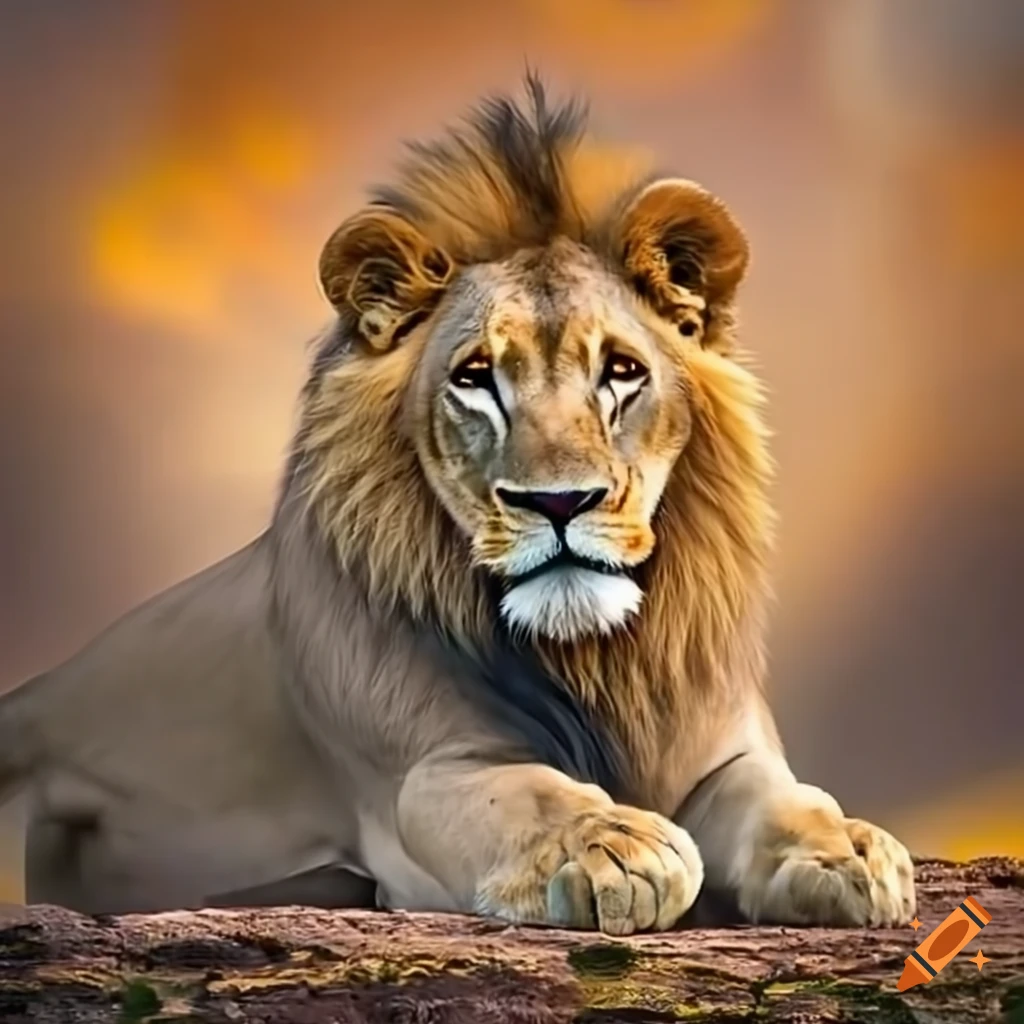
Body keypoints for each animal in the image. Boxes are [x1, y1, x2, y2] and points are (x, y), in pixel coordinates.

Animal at [0, 78, 915, 932]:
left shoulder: (723, 748)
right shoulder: (421, 778)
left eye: (621, 371)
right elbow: (534, 792)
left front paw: (851, 851)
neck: (591, 663)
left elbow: (787, 797)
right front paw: (614, 848)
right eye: (476, 378)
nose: (560, 501)